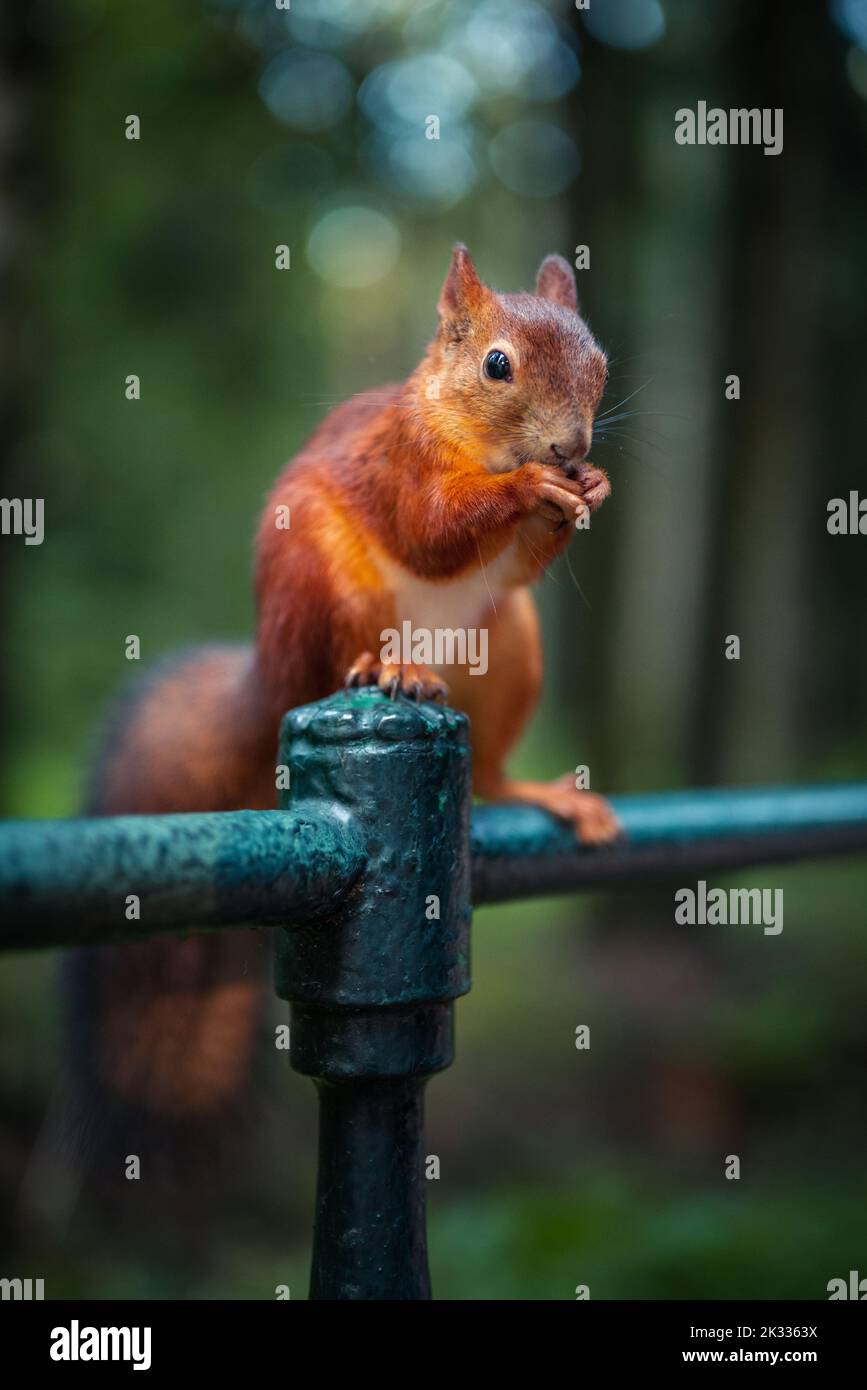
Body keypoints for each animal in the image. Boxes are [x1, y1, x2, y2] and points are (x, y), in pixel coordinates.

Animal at [69, 246, 619, 1163]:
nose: (569, 445)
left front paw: (591, 484)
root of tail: (271, 676)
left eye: (601, 362)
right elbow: (433, 527)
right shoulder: (396, 463)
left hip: (509, 649)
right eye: (496, 365)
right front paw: (532, 485)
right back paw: (387, 669)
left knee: (491, 775)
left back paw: (539, 791)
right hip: (323, 586)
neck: (469, 435)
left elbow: (513, 562)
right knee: (344, 657)